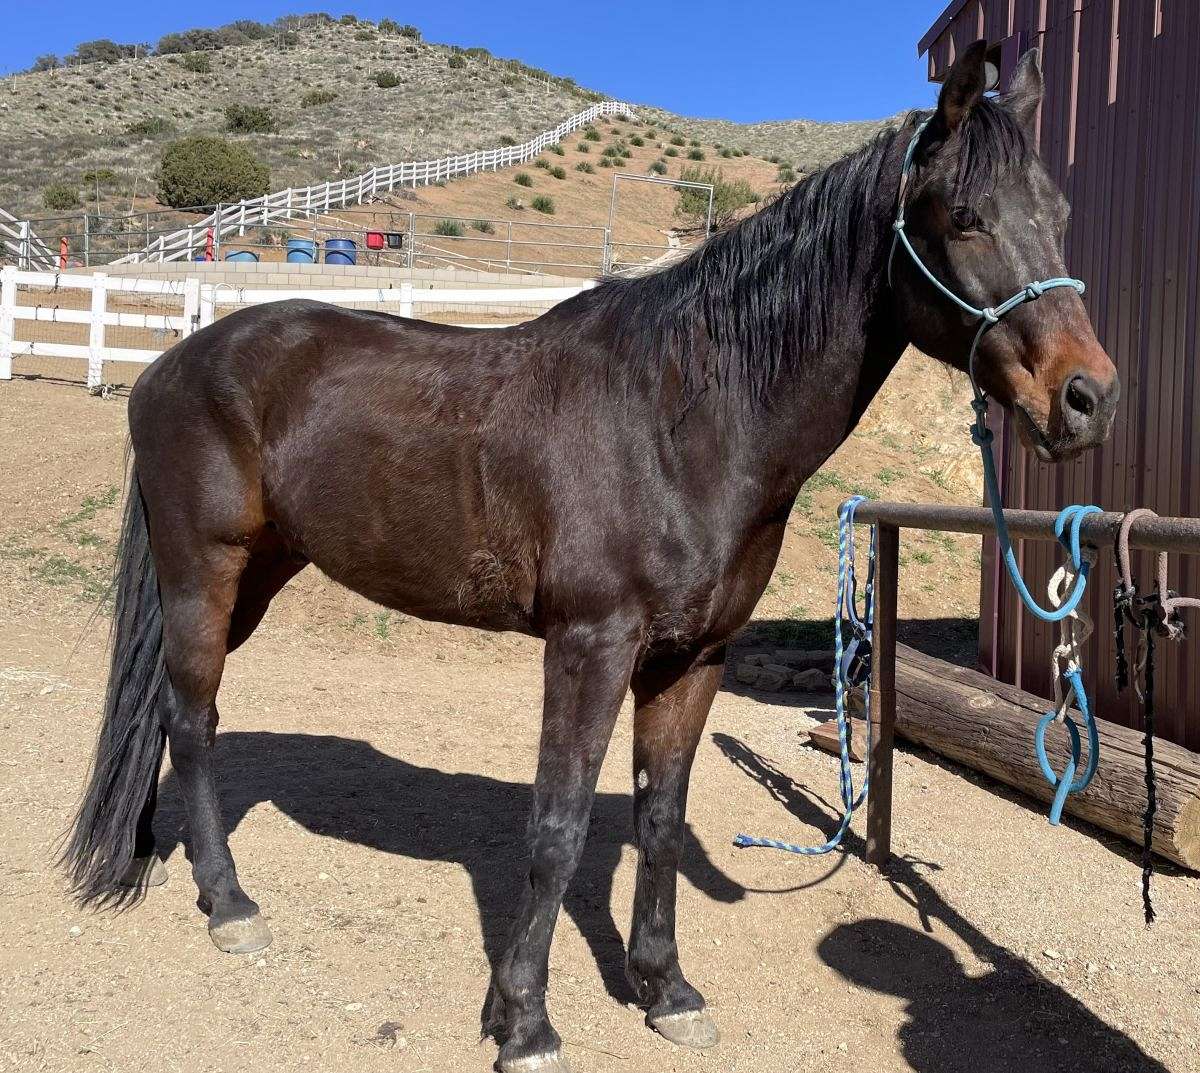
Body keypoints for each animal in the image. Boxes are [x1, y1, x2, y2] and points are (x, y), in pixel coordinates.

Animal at [62, 42, 1118, 1073]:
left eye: (1062, 215)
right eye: (964, 216)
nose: (1088, 396)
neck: (680, 416)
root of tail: (169, 365)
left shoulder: (692, 658)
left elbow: (658, 816)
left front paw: (666, 989)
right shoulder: (590, 644)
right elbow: (559, 825)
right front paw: (524, 1020)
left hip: (259, 573)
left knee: (176, 714)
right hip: (205, 570)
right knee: (190, 716)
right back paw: (231, 903)